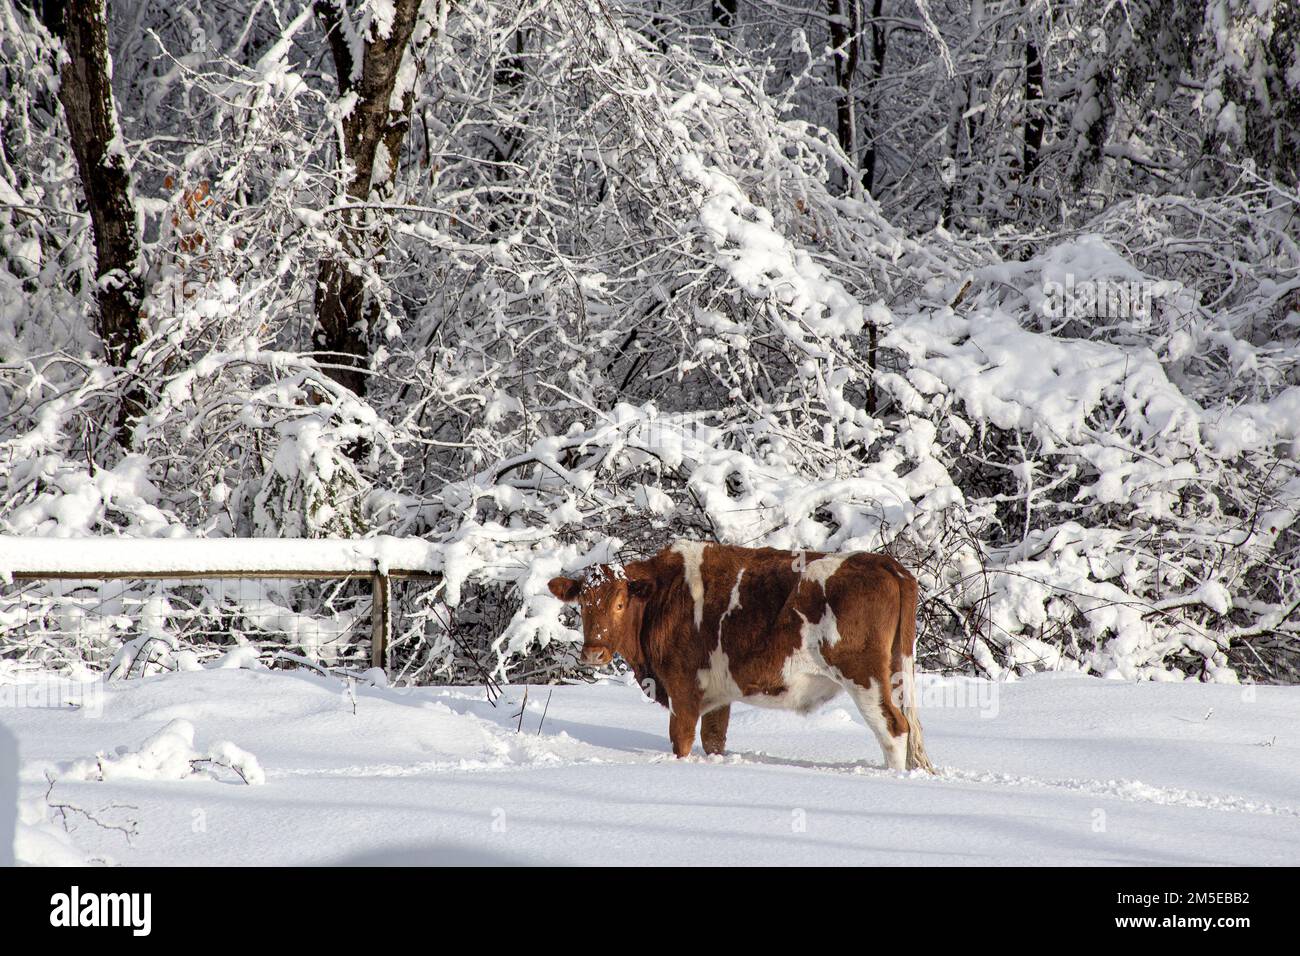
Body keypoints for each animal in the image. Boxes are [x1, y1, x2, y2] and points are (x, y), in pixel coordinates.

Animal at [549, 541, 934, 772]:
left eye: (619, 603)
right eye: (582, 604)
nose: (593, 652)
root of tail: (886, 564)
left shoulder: (682, 690)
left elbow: (682, 742)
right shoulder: (717, 696)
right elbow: (713, 740)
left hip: (863, 676)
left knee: (893, 728)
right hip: (897, 673)